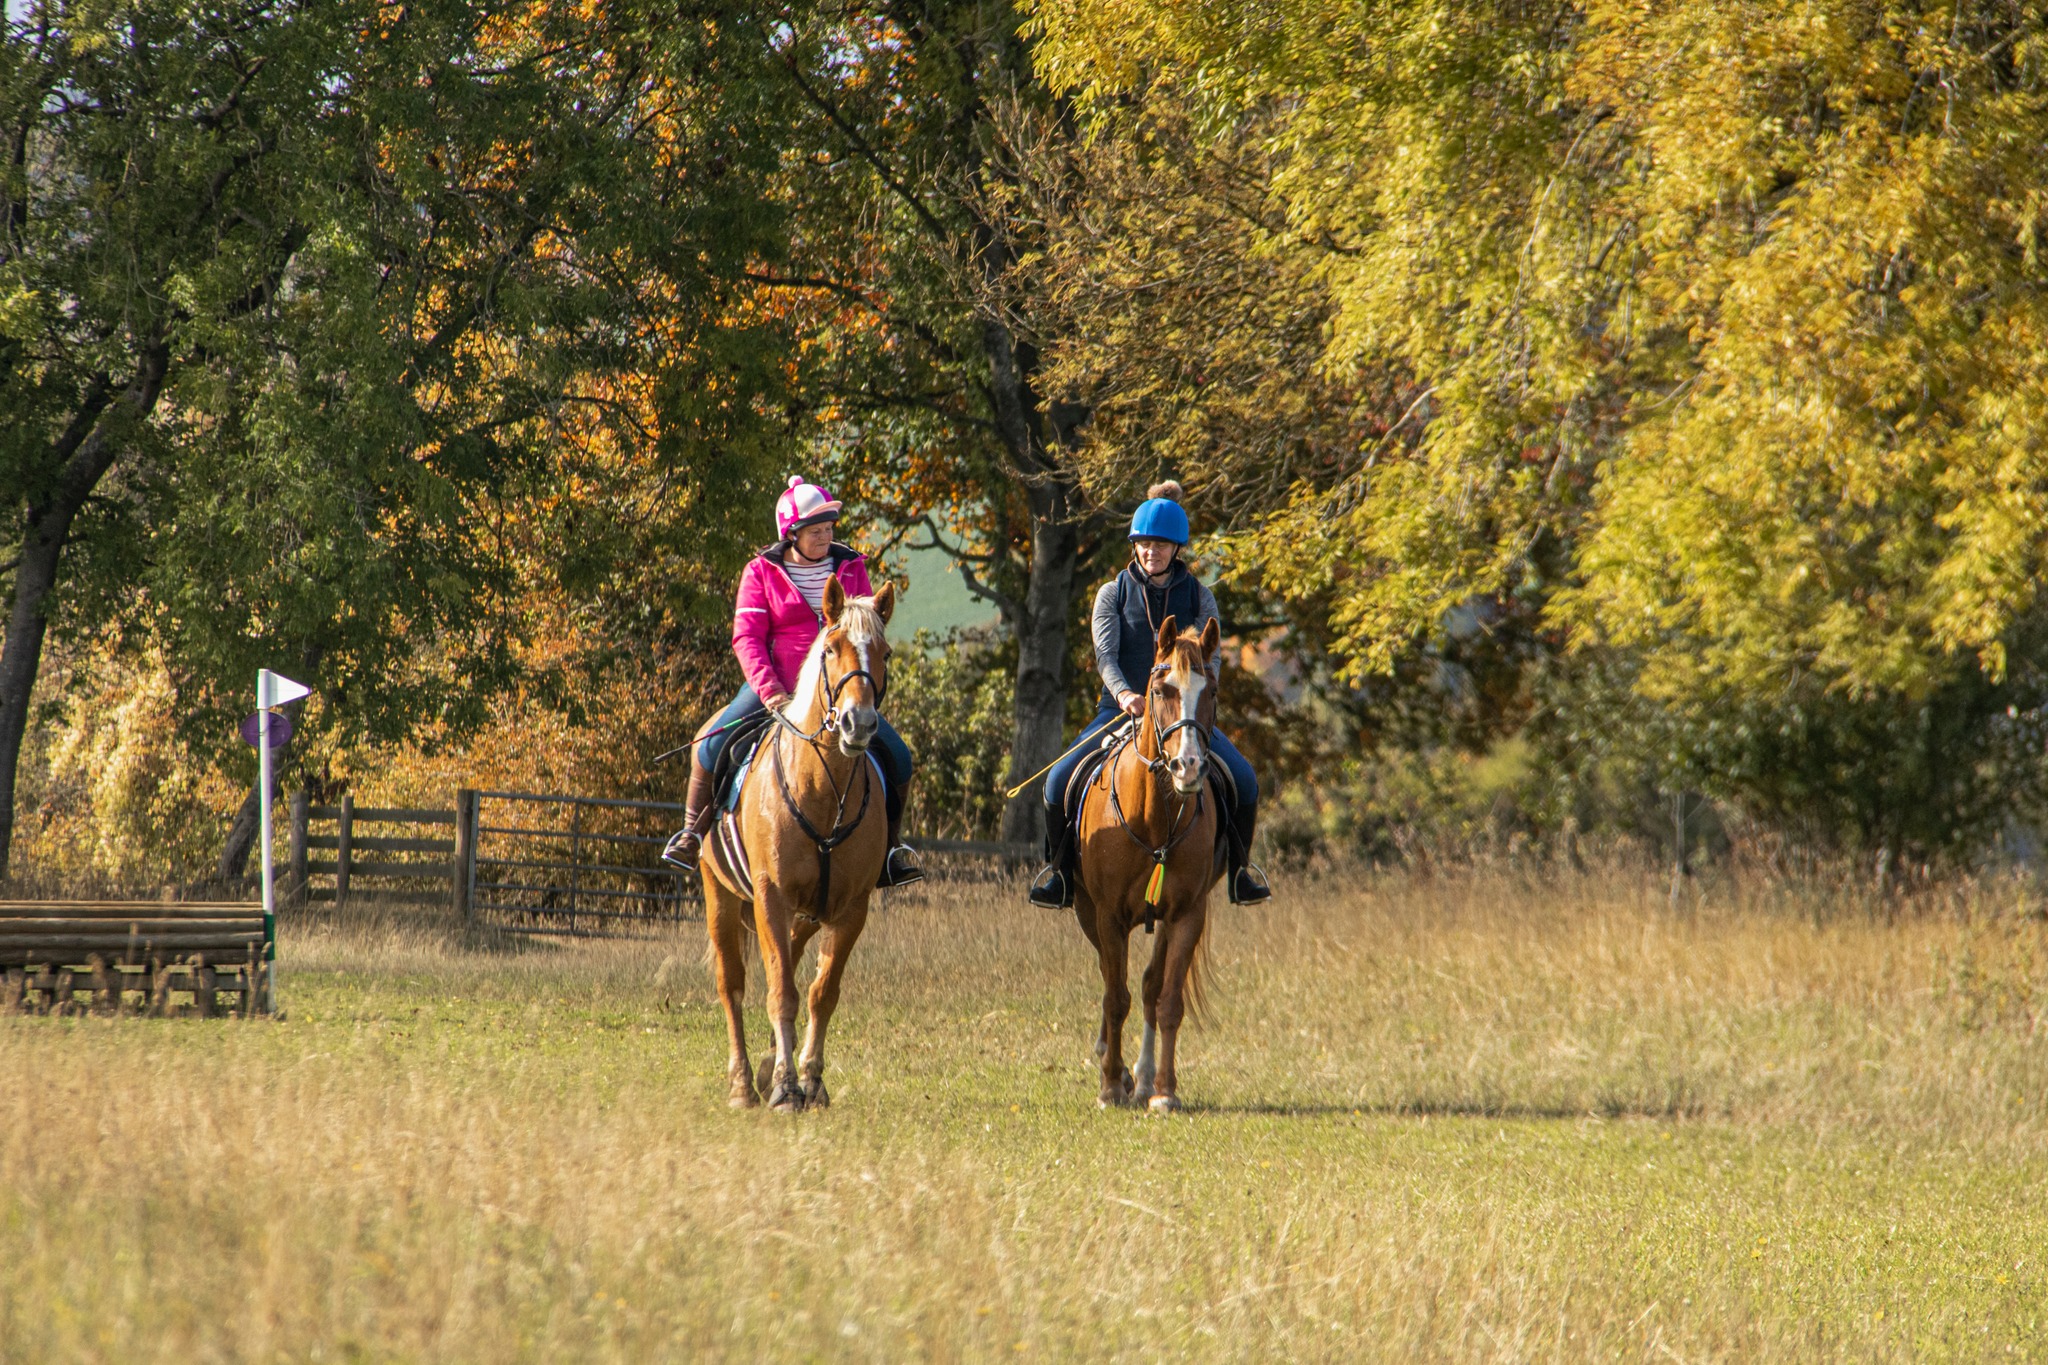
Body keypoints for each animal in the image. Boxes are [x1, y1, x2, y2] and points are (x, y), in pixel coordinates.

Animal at [700, 576, 895, 1112]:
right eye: (830, 648)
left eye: (885, 653)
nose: (858, 724)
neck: (822, 789)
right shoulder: (771, 897)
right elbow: (780, 991)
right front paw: (787, 1087)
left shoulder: (851, 910)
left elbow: (820, 992)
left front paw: (810, 1081)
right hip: (720, 896)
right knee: (733, 985)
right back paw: (744, 1083)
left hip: (805, 917)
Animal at [1071, 614, 1224, 1112]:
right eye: (1160, 690)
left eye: (1211, 691)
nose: (1188, 766)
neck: (1154, 820)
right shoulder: (1107, 915)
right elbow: (1114, 996)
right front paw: (1108, 1086)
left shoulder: (1187, 914)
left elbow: (1167, 999)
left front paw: (1164, 1091)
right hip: (1087, 913)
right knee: (1111, 980)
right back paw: (1116, 1068)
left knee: (1150, 986)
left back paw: (1141, 1078)